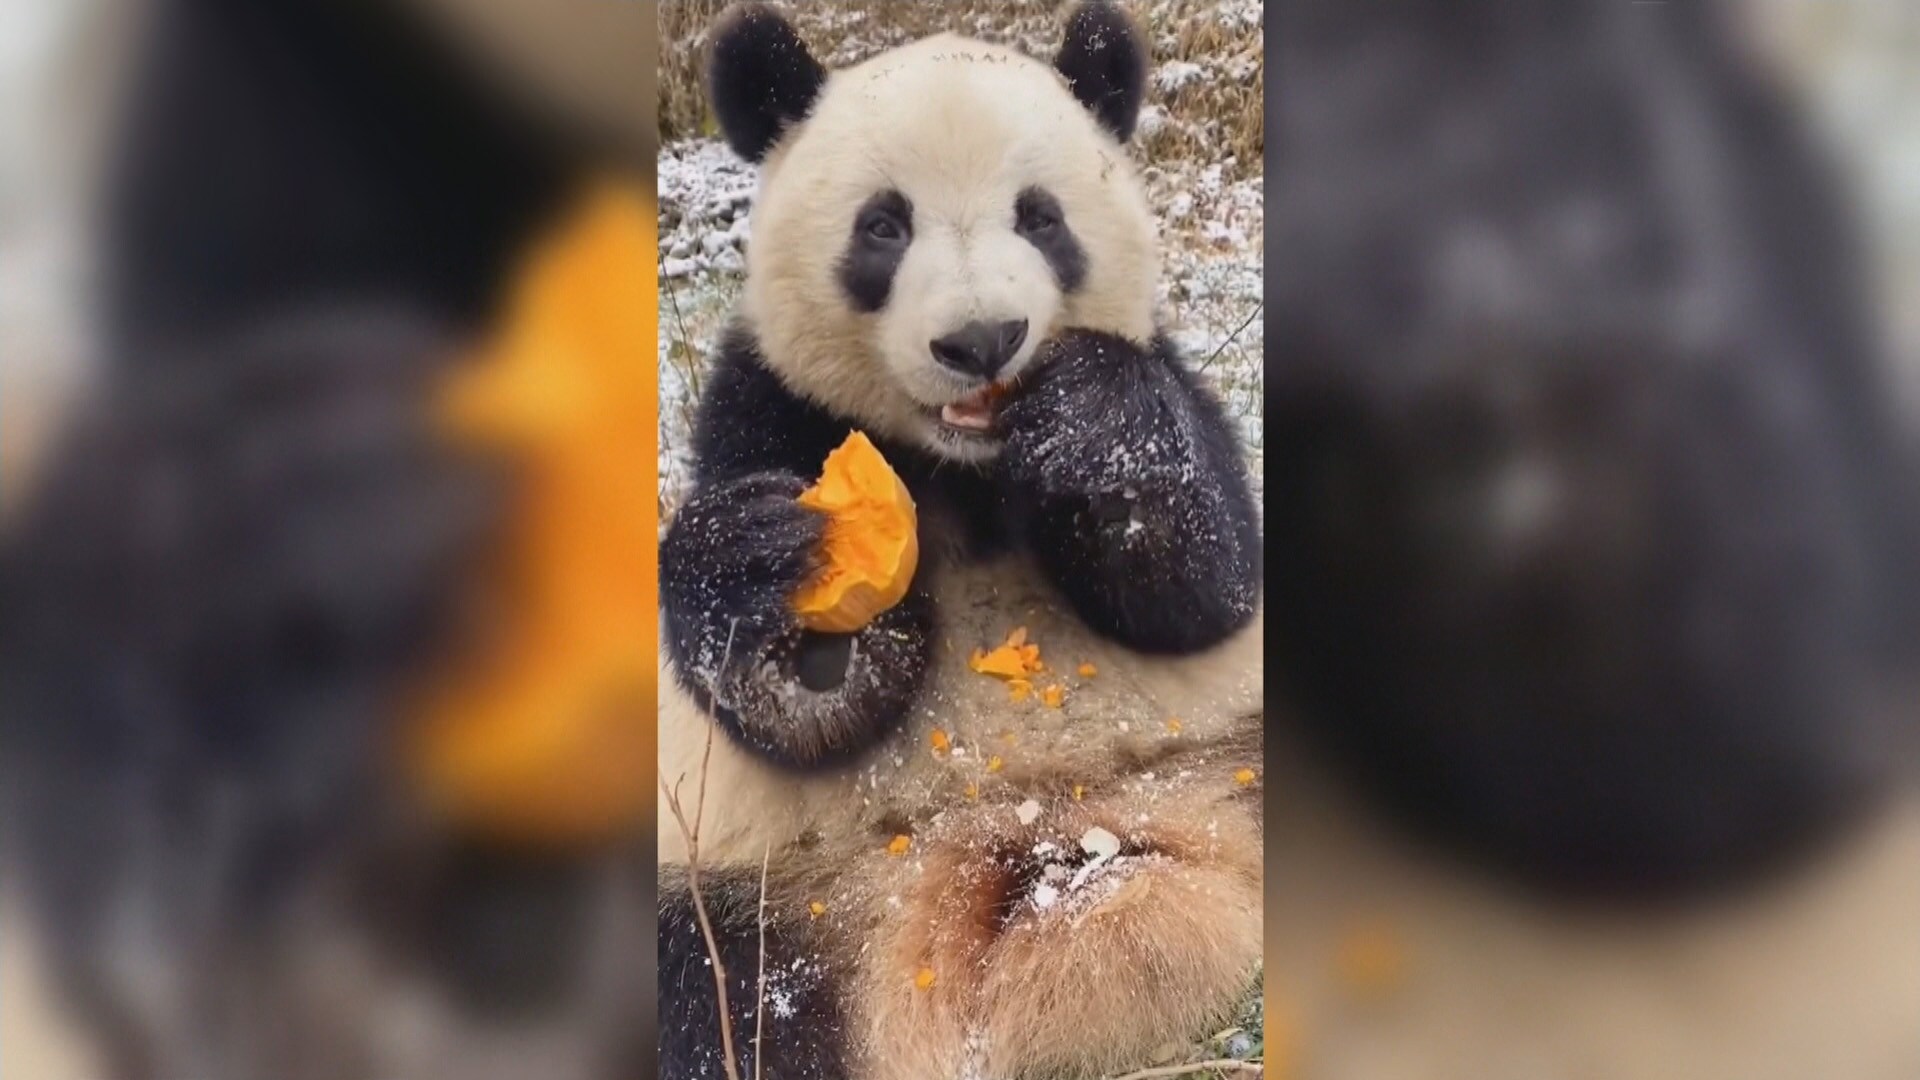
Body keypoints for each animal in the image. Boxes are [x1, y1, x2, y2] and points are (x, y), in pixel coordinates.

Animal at [656, 5, 1265, 1079]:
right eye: (883, 225)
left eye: (1042, 217)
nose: (982, 341)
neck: (964, 462)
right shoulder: (764, 402)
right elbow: (794, 706)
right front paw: (766, 569)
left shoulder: (1167, 368)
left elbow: (1204, 581)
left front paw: (1098, 428)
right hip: (760, 880)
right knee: (713, 978)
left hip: (1225, 762)